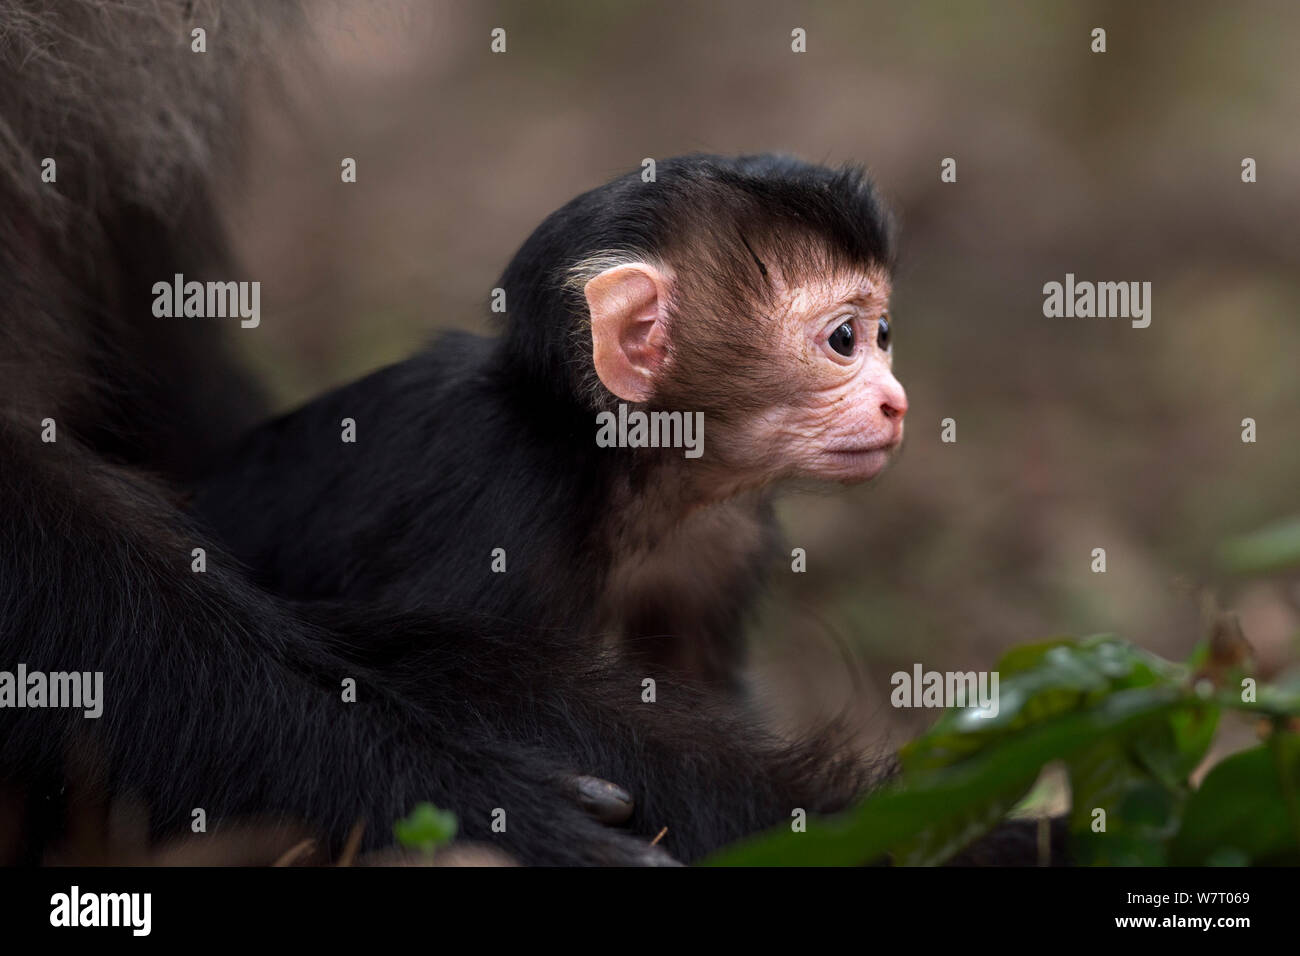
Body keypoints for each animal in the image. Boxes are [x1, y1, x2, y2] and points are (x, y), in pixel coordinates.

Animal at [195, 154, 907, 693]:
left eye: (884, 335)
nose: (895, 403)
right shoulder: (500, 507)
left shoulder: (723, 535)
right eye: (845, 338)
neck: (618, 467)